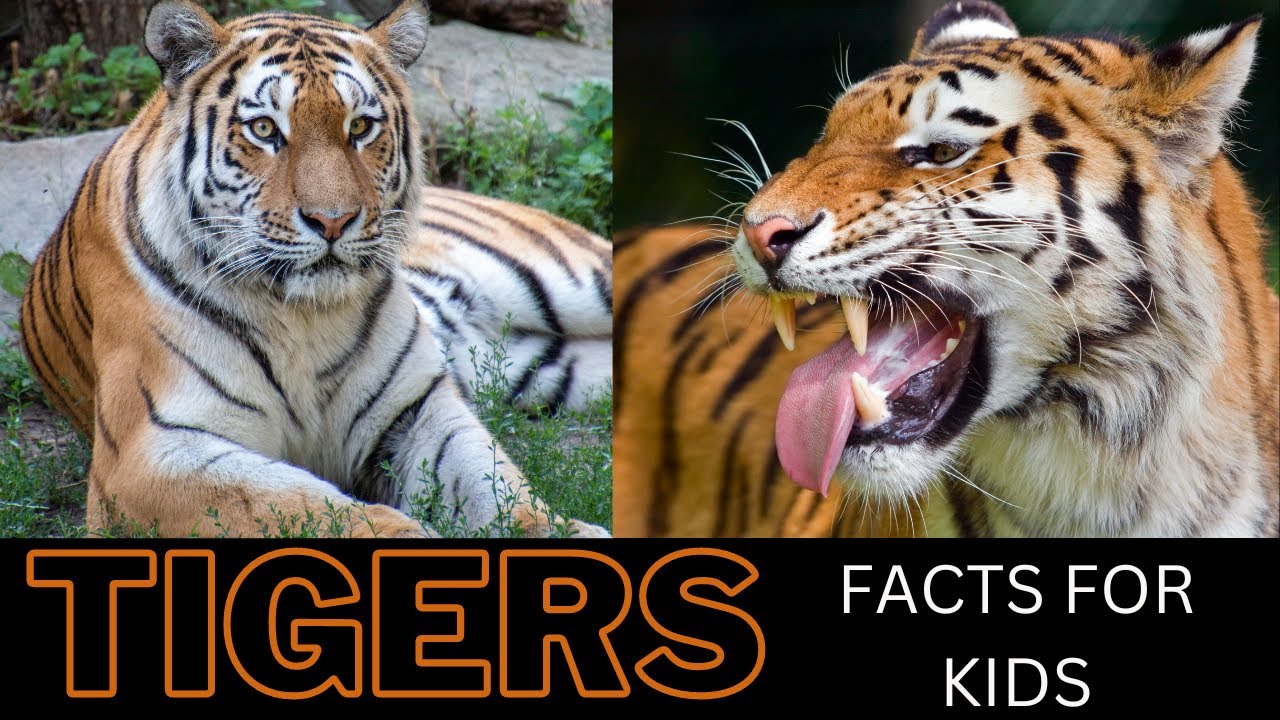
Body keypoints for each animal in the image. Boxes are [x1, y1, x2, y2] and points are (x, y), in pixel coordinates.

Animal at [18, 0, 612, 538]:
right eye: (263, 129)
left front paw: (561, 531)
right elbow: (308, 508)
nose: (333, 220)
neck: (304, 318)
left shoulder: (418, 409)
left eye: (361, 127)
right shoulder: (148, 454)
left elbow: (496, 488)